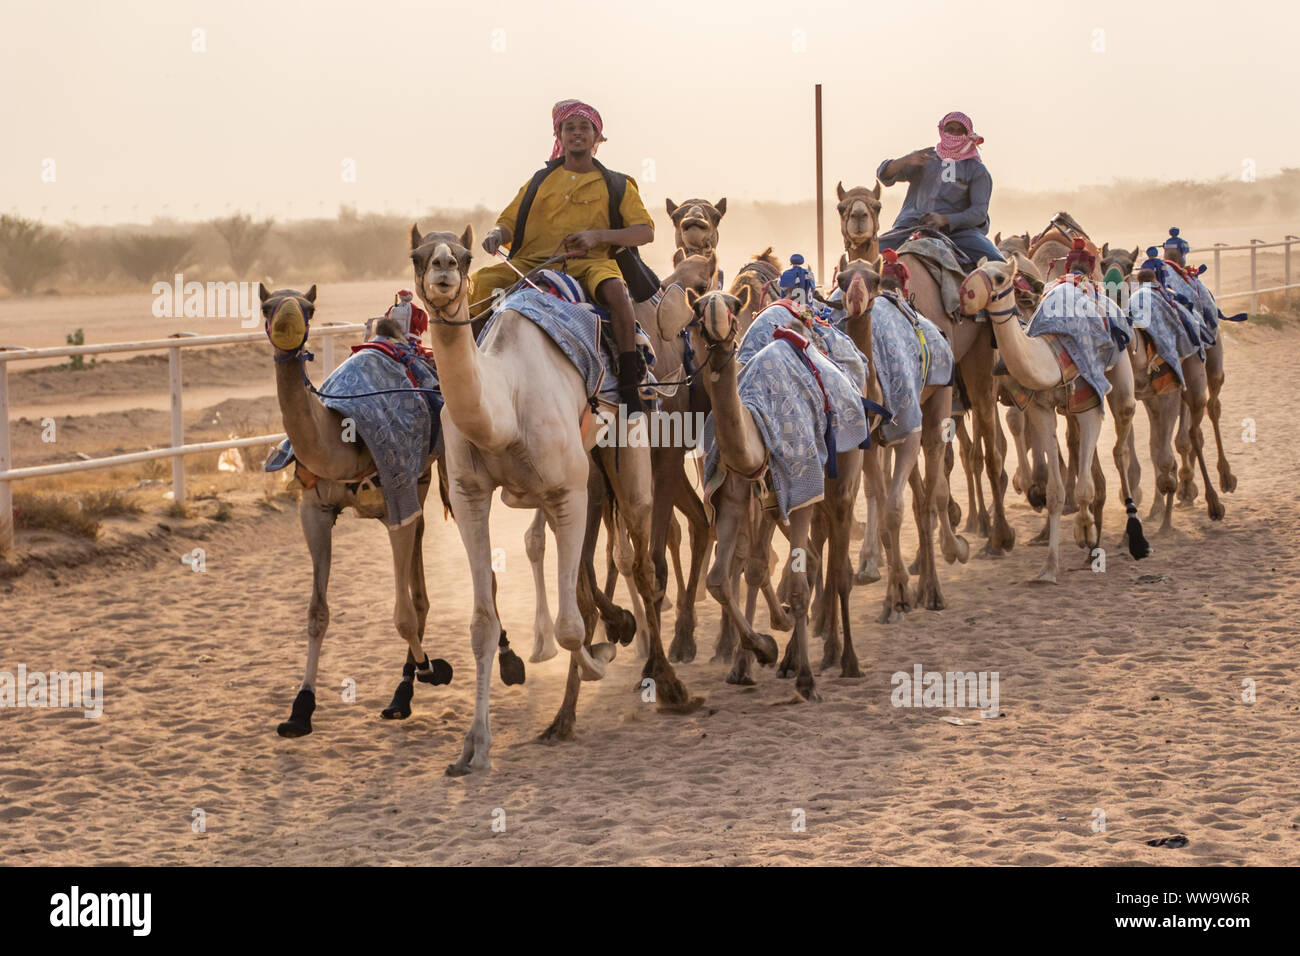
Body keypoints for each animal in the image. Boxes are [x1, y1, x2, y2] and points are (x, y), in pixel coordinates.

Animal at [264, 286, 465, 739]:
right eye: (267, 307)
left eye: (309, 308)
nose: (287, 326)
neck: (344, 437)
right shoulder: (315, 510)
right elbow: (317, 613)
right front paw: (300, 709)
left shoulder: (396, 503)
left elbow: (402, 616)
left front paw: (432, 668)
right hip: (420, 483)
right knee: (421, 576)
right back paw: (400, 696)